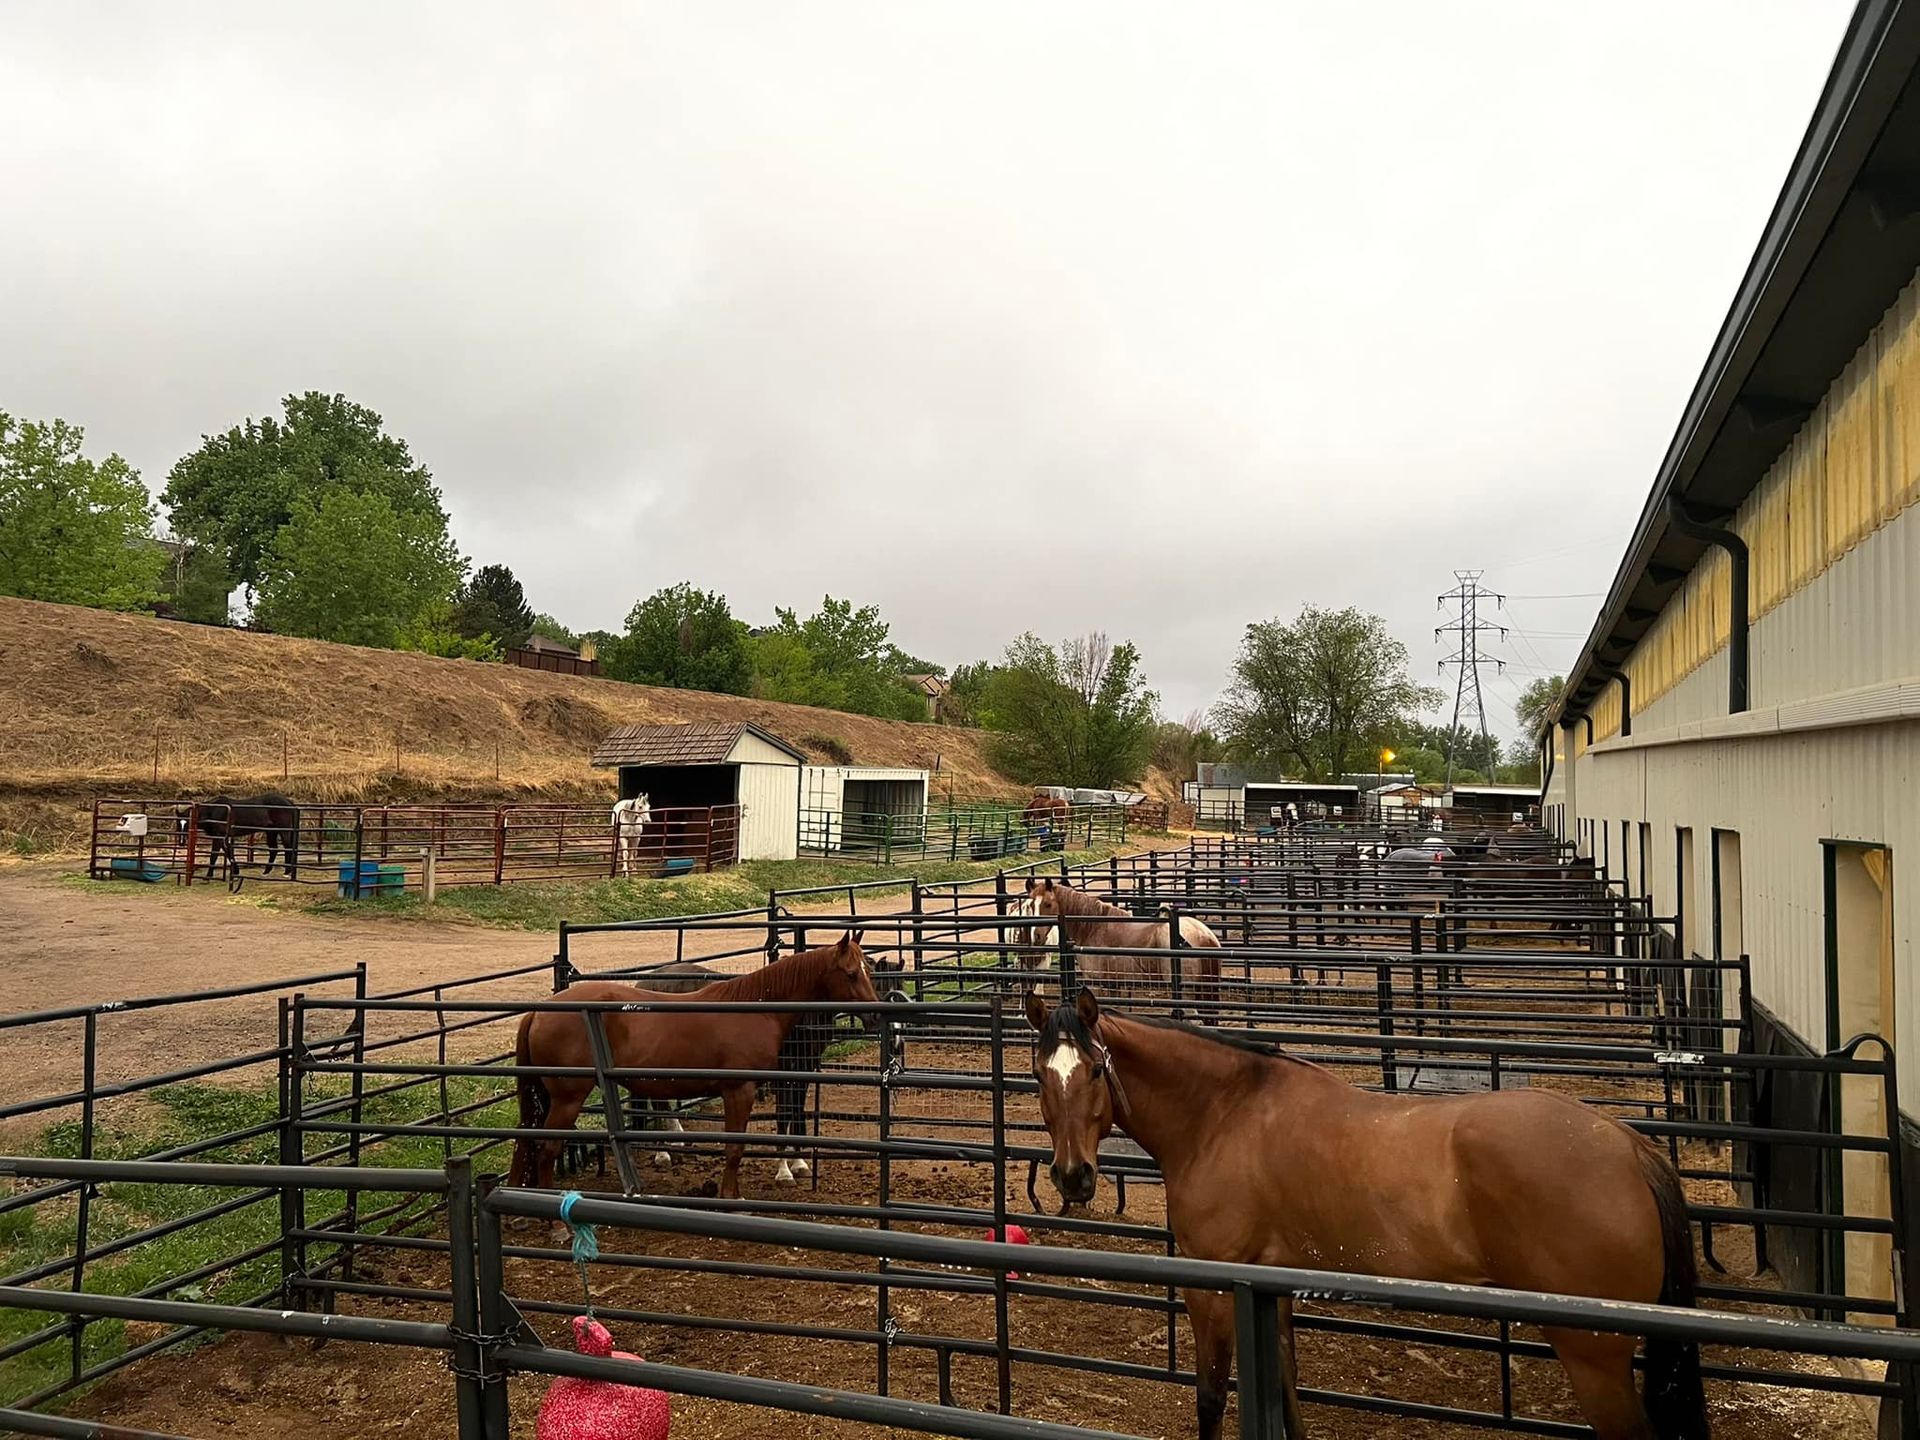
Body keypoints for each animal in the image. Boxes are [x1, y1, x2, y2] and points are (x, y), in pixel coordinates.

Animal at [512, 933, 879, 1198]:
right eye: (851, 974)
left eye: (869, 970)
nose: (876, 1015)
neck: (756, 1008)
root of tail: (539, 1011)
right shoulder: (741, 1090)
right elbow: (736, 1147)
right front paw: (733, 1196)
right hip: (568, 1097)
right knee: (547, 1147)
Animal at [1021, 878, 1222, 1018]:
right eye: (1030, 905)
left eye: (1047, 904)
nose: (1036, 936)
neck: (1094, 927)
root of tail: (1203, 934)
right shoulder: (1114, 984)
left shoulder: (1096, 983)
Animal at [1024, 987, 1708, 1440]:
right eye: (1038, 1074)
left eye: (1094, 1070)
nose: (1073, 1176)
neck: (1225, 1113)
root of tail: (1627, 1146)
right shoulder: (1271, 1286)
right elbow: (1284, 1392)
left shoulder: (1215, 1288)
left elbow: (1213, 1397)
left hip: (1595, 1359)